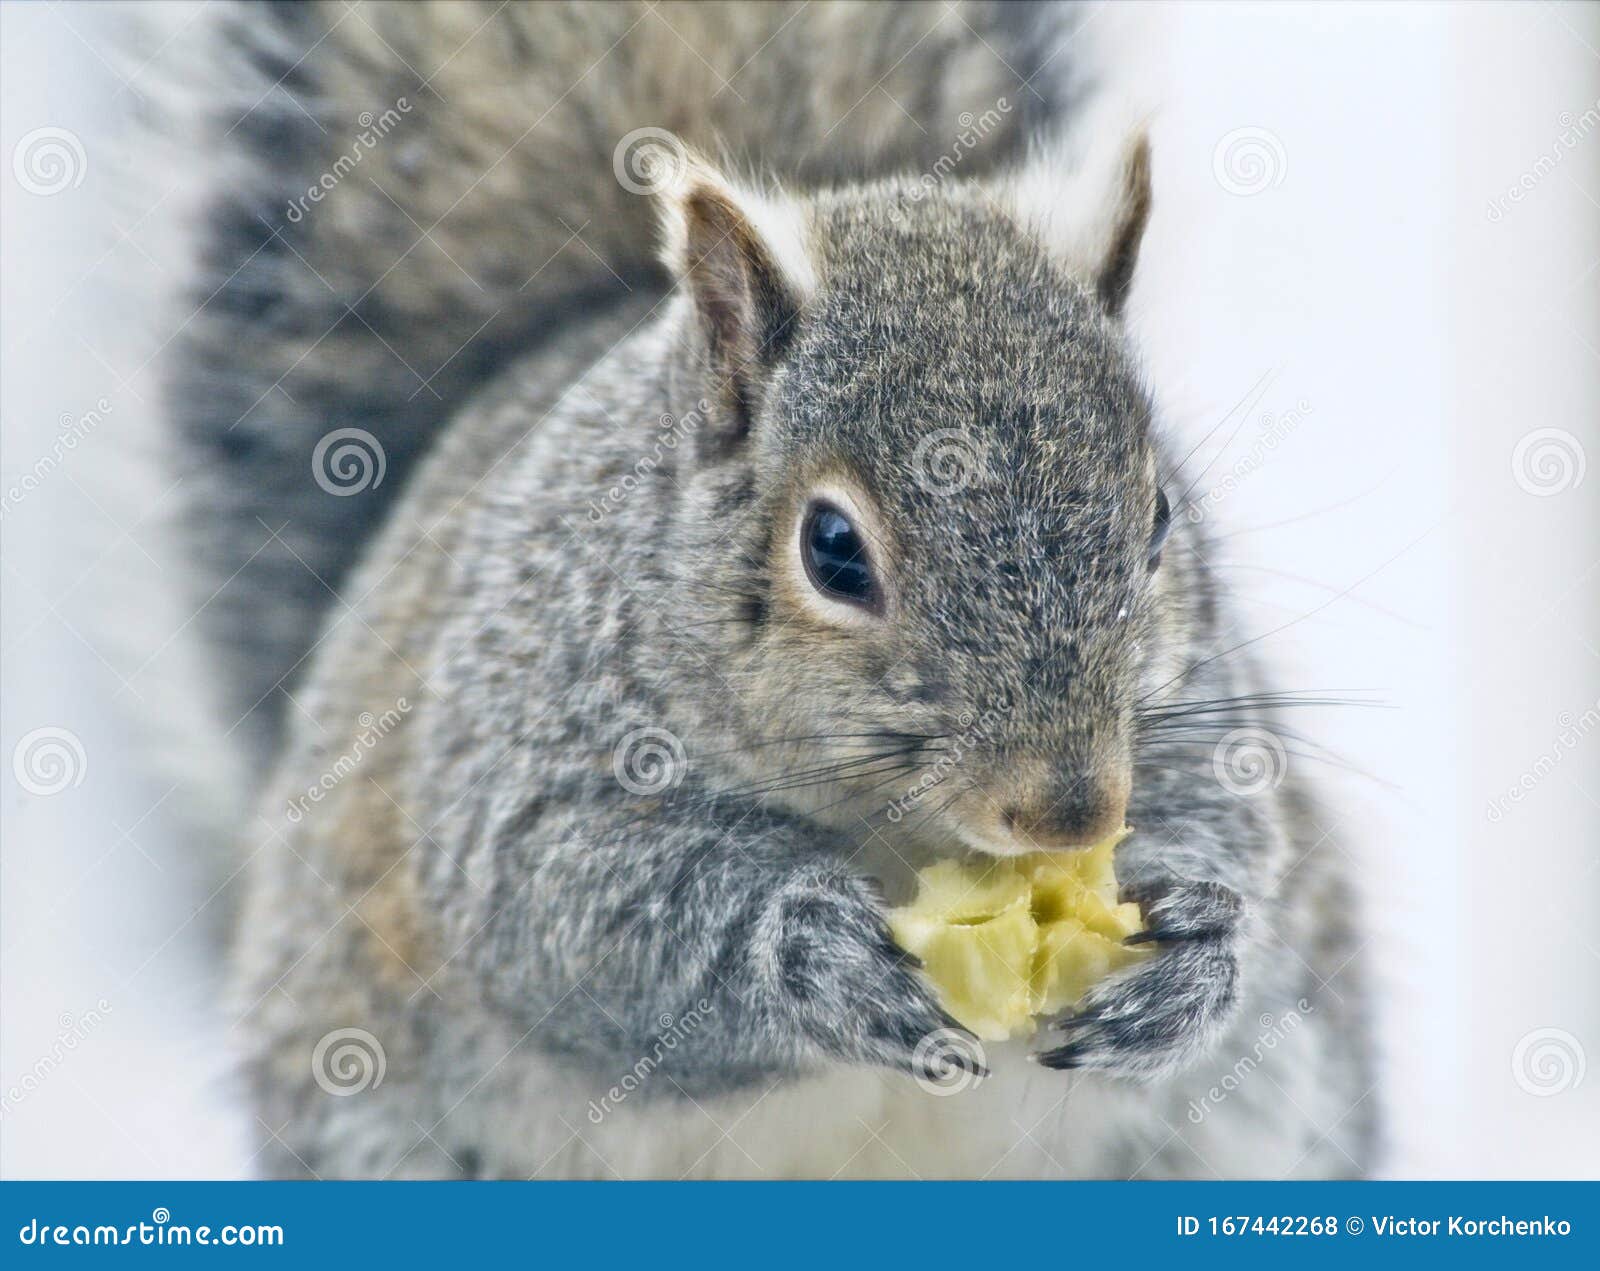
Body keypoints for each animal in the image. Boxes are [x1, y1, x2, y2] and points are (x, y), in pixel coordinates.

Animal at [160, 0, 1379, 1178]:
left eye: (1162, 516)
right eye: (832, 548)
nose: (1070, 811)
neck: (892, 827)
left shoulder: (1203, 706)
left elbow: (1236, 824)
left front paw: (1195, 953)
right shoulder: (512, 756)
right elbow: (564, 906)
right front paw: (806, 950)